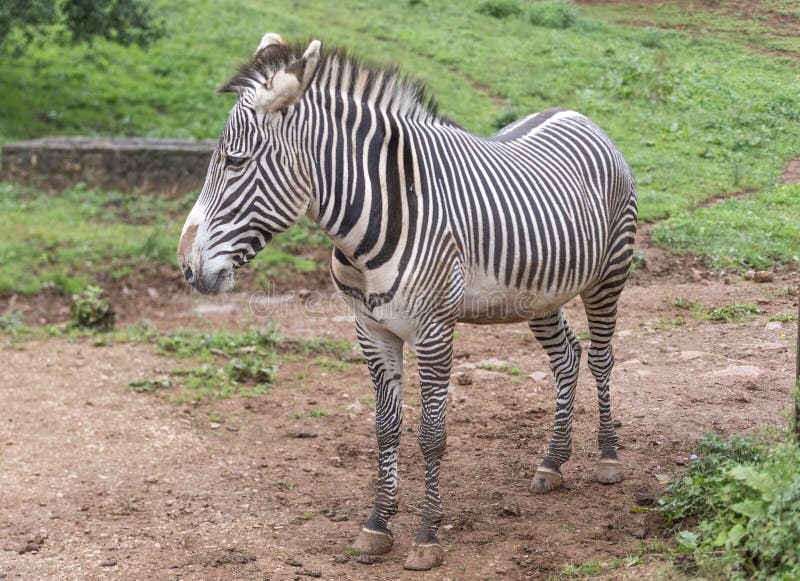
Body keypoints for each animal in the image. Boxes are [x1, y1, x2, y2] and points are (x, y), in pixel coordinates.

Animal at [177, 34, 637, 571]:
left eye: (234, 162)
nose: (186, 265)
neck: (378, 216)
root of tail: (579, 114)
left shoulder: (434, 330)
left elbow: (432, 434)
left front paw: (426, 538)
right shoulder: (371, 329)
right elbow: (386, 428)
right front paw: (377, 526)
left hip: (609, 275)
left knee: (602, 357)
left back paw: (608, 458)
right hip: (539, 294)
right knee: (567, 357)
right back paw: (551, 464)